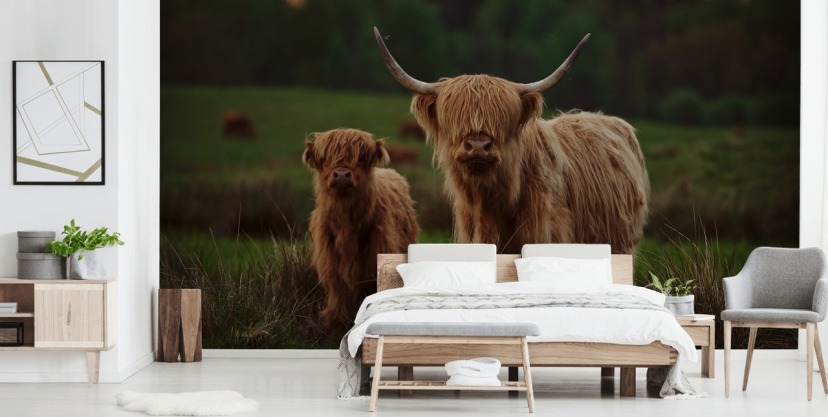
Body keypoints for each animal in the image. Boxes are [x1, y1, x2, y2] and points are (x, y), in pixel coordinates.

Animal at [303, 128, 420, 331]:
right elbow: (338, 291)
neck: (346, 226)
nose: (342, 174)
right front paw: (335, 322)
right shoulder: (330, 261)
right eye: (325, 158)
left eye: (361, 157)